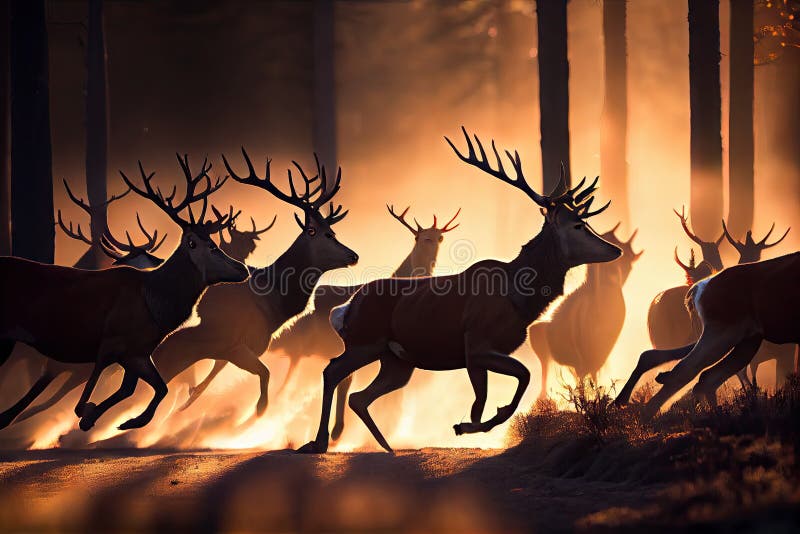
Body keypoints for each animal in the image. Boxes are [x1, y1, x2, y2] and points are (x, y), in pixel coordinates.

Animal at [0, 154, 249, 431]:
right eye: (200, 244)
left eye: (214, 242)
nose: (242, 268)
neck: (156, 307)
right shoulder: (110, 341)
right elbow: (88, 395)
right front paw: (88, 414)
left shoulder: (137, 353)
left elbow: (155, 389)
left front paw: (125, 420)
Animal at [139, 149, 357, 426]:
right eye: (324, 234)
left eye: (333, 230)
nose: (353, 255)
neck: (275, 305)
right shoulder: (228, 343)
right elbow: (263, 374)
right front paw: (257, 412)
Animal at [296, 127, 621, 454]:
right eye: (578, 225)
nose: (614, 250)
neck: (519, 299)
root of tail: (344, 309)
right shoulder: (475, 342)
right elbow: (512, 382)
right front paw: (468, 425)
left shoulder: (483, 350)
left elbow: (499, 390)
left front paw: (470, 424)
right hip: (365, 341)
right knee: (333, 371)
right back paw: (319, 442)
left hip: (398, 361)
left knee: (359, 396)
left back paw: (385, 445)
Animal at [529, 224, 641, 397]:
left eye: (629, 266)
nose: (615, 276)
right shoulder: (583, 359)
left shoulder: (599, 358)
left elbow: (595, 382)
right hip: (543, 349)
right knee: (545, 378)